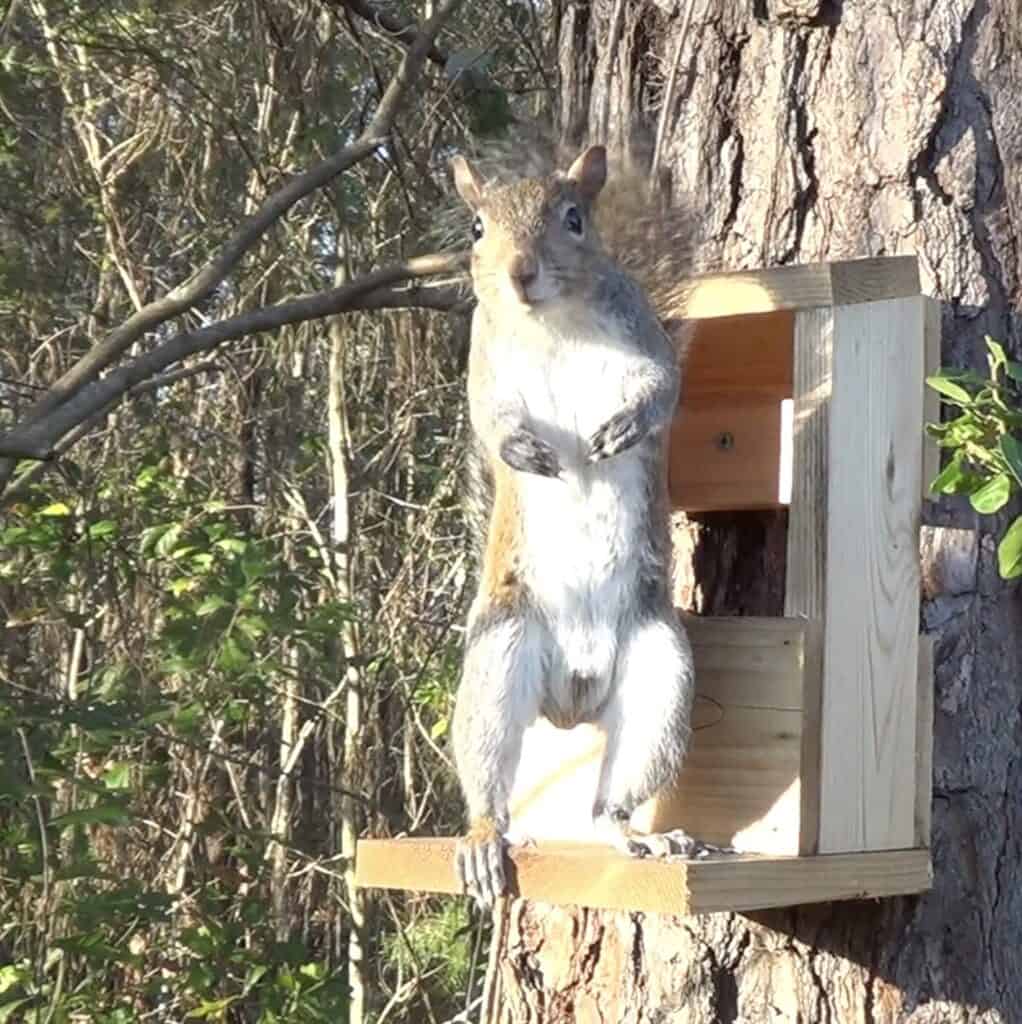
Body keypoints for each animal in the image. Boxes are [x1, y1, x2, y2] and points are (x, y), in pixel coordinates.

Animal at [449, 144, 711, 908]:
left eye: (574, 219)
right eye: (476, 227)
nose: (520, 272)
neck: (551, 323)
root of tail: (571, 702)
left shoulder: (645, 343)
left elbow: (663, 391)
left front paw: (623, 428)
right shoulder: (481, 369)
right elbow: (488, 420)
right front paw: (522, 452)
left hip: (660, 672)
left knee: (610, 802)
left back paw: (642, 838)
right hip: (502, 651)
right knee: (489, 774)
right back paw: (482, 841)